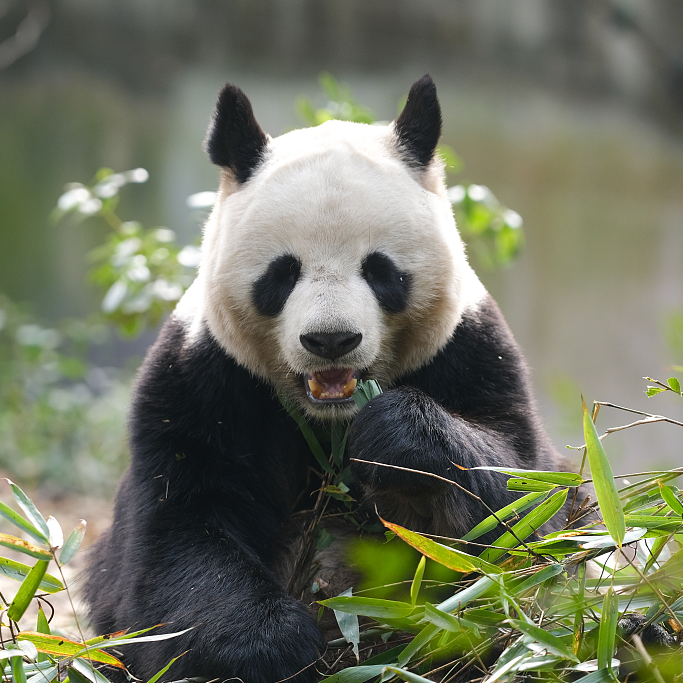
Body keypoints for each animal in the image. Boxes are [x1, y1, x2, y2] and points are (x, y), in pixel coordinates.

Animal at [84, 75, 581, 683]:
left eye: (380, 270)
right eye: (282, 272)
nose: (330, 341)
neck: (327, 419)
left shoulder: (471, 350)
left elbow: (520, 498)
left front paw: (396, 439)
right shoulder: (203, 378)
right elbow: (178, 533)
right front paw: (270, 644)